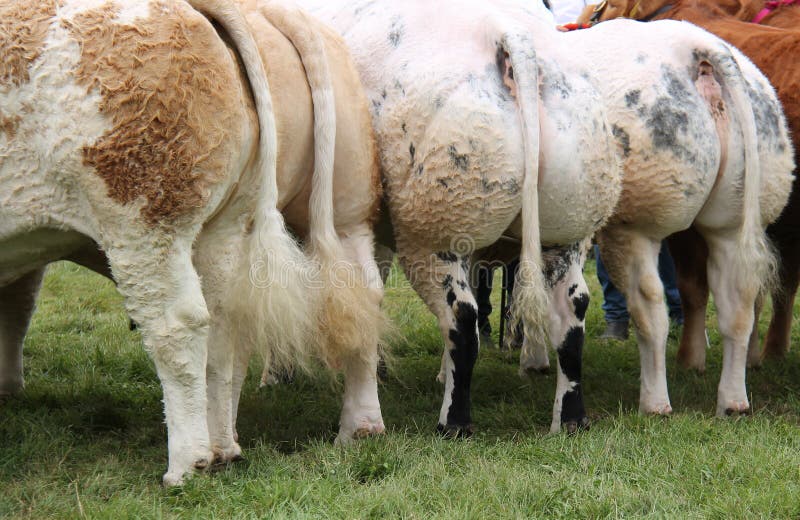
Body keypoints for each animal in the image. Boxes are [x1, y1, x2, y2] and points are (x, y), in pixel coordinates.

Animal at [0, 0, 384, 485]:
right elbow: (16, 308)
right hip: (308, 217)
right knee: (240, 323)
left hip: (144, 220)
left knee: (177, 326)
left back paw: (188, 463)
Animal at [301, 0, 624, 435]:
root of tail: (507, 35)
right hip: (567, 218)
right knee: (572, 313)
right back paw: (570, 418)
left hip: (434, 222)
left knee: (461, 317)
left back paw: (453, 422)